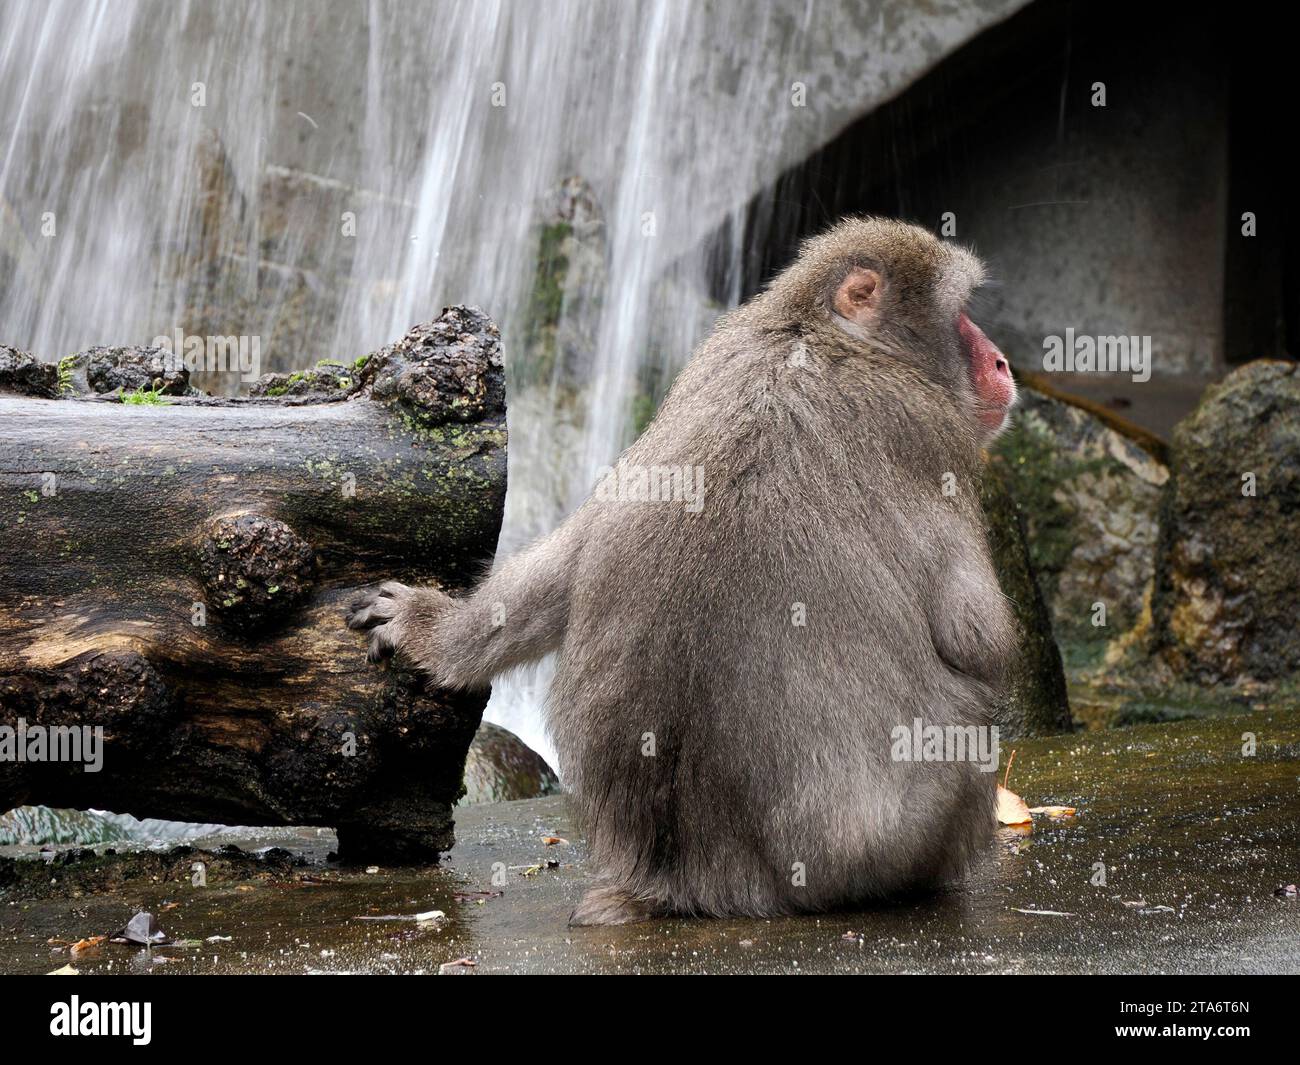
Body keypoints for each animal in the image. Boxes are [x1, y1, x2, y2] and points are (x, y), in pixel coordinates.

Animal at [348, 216, 1019, 925]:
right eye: (960, 313)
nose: (1003, 362)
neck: (814, 332)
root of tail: (680, 878)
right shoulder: (927, 427)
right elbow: (979, 638)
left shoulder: (710, 359)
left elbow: (571, 557)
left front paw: (430, 630)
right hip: (908, 833)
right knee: (971, 711)